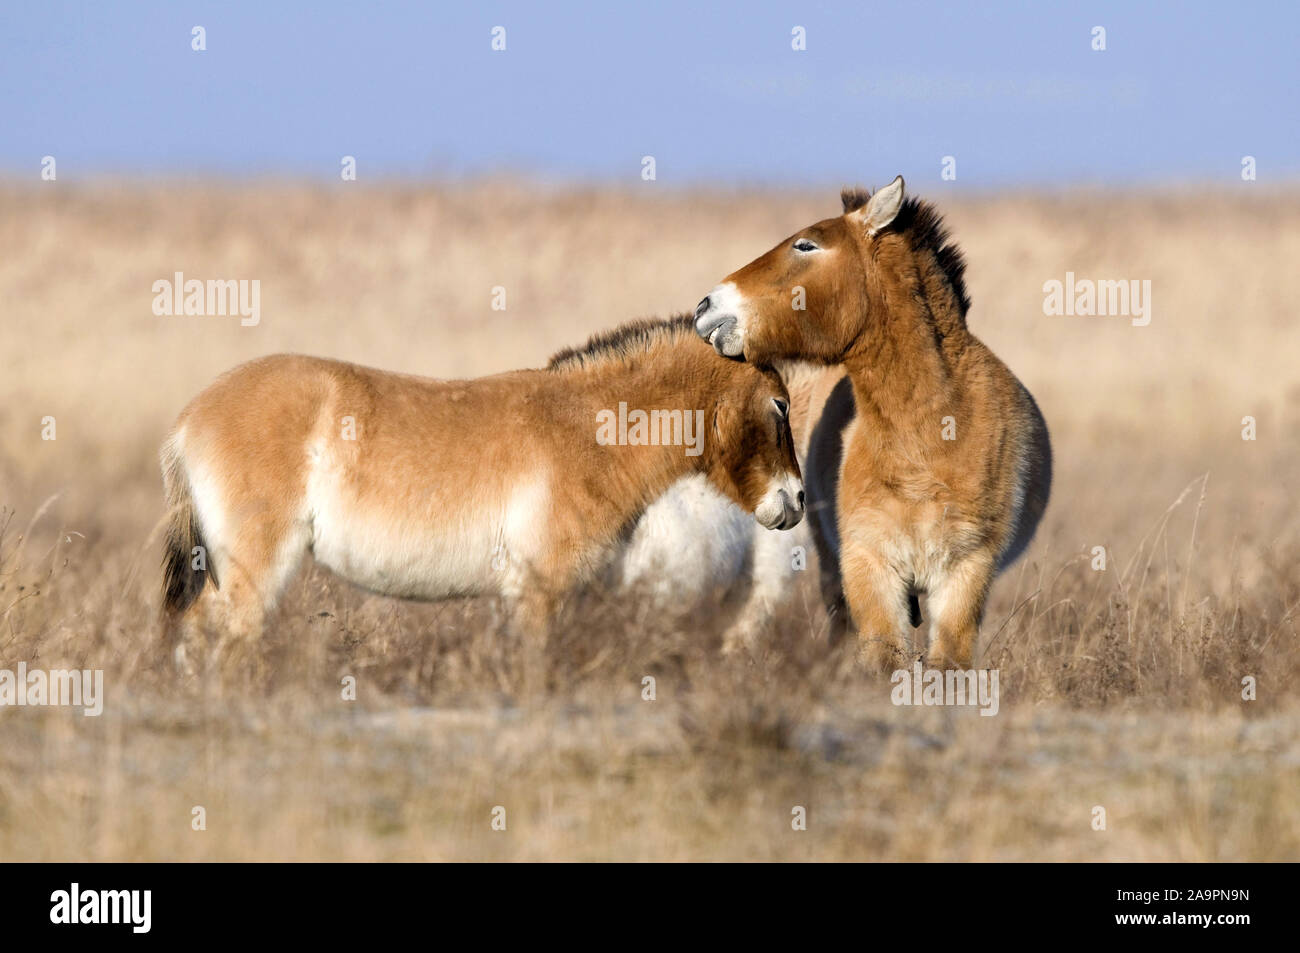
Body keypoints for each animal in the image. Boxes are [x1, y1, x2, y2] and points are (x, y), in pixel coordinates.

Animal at [160, 315, 804, 668]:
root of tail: (190, 418)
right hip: (254, 570)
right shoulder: (539, 593)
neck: (587, 431)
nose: (796, 501)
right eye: (780, 405)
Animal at [693, 176, 1051, 671]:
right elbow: (884, 658)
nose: (706, 307)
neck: (930, 439)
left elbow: (949, 660)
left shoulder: (967, 570)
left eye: (806, 244)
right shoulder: (869, 566)